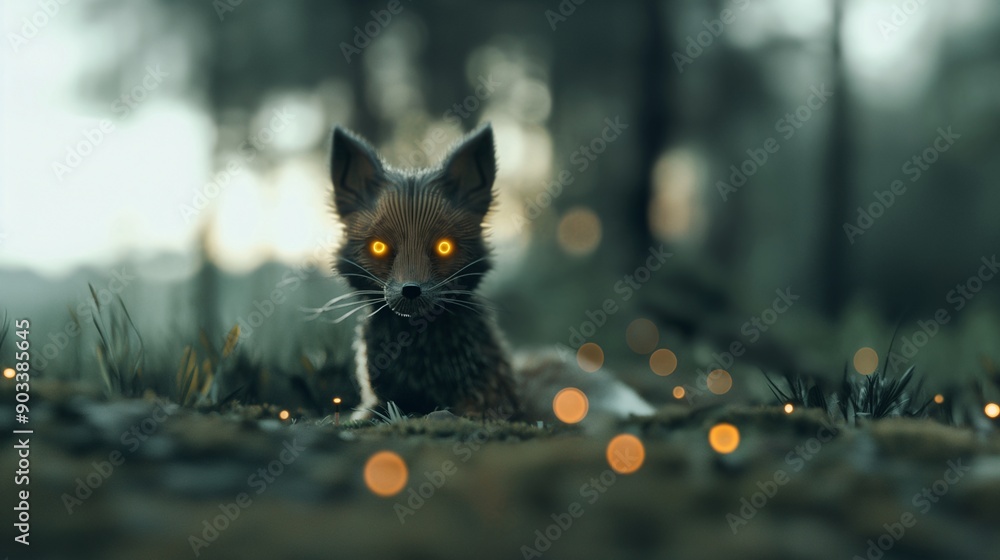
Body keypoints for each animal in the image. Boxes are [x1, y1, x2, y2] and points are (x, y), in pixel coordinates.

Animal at [328, 123, 655, 425]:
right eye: (379, 247)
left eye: (444, 246)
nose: (411, 290)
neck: (421, 358)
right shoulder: (378, 399)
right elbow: (372, 414)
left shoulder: (495, 400)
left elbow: (453, 414)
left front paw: (436, 416)